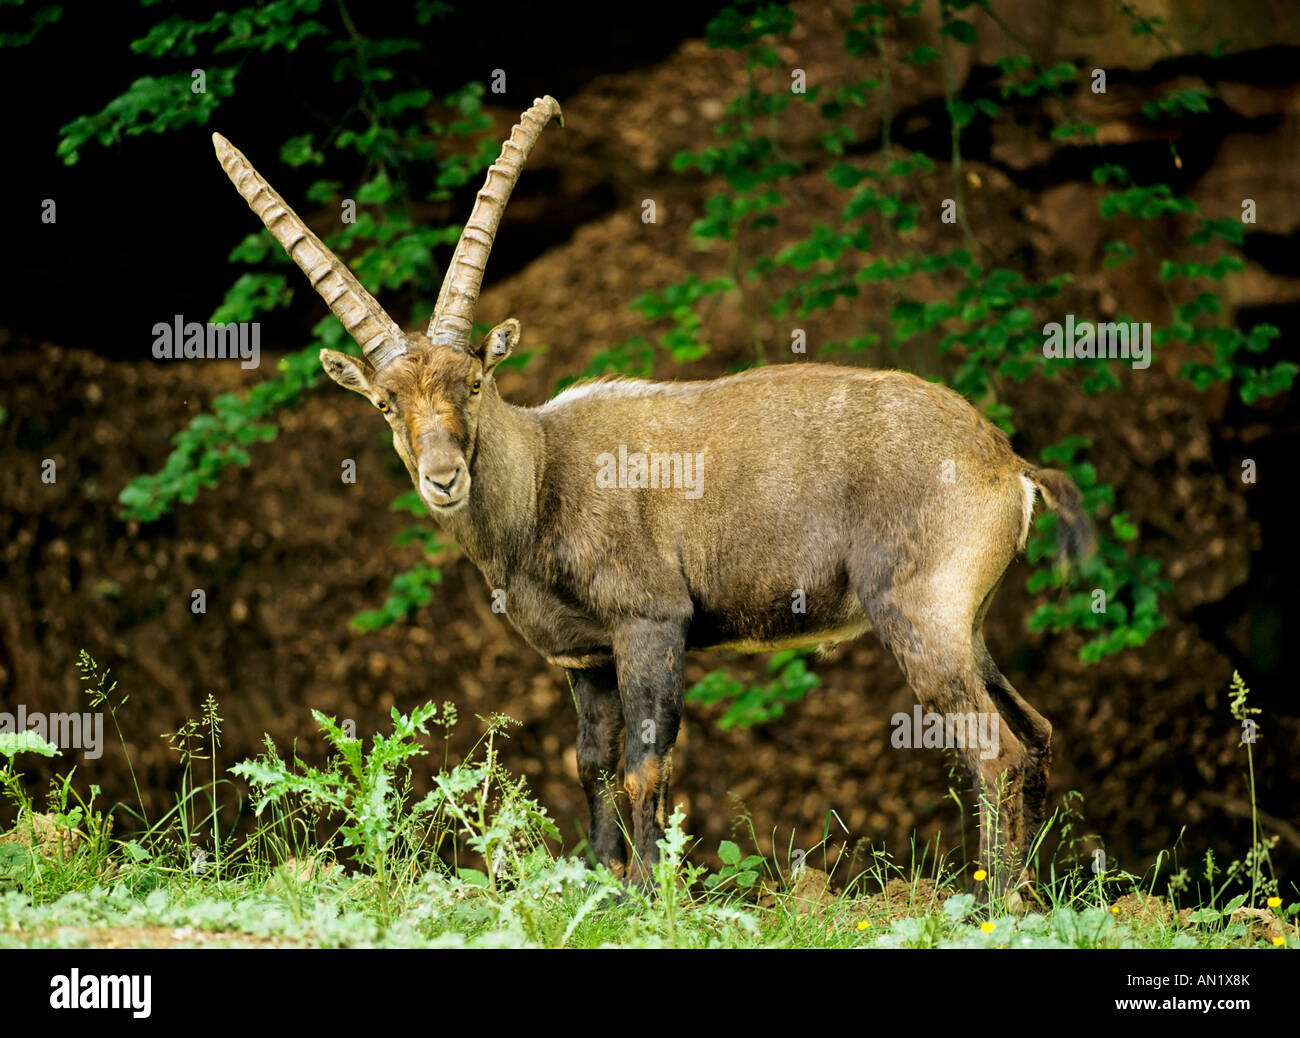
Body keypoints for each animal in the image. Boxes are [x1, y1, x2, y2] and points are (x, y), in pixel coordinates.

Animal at [213, 96, 1093, 898]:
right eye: (386, 404)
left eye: (473, 381)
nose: (443, 477)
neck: (541, 480)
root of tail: (1004, 463)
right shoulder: (588, 657)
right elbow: (593, 766)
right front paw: (602, 886)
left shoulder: (651, 622)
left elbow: (646, 767)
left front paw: (645, 895)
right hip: (964, 620)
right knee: (1036, 731)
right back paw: (1030, 892)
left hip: (919, 613)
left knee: (996, 750)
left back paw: (992, 901)